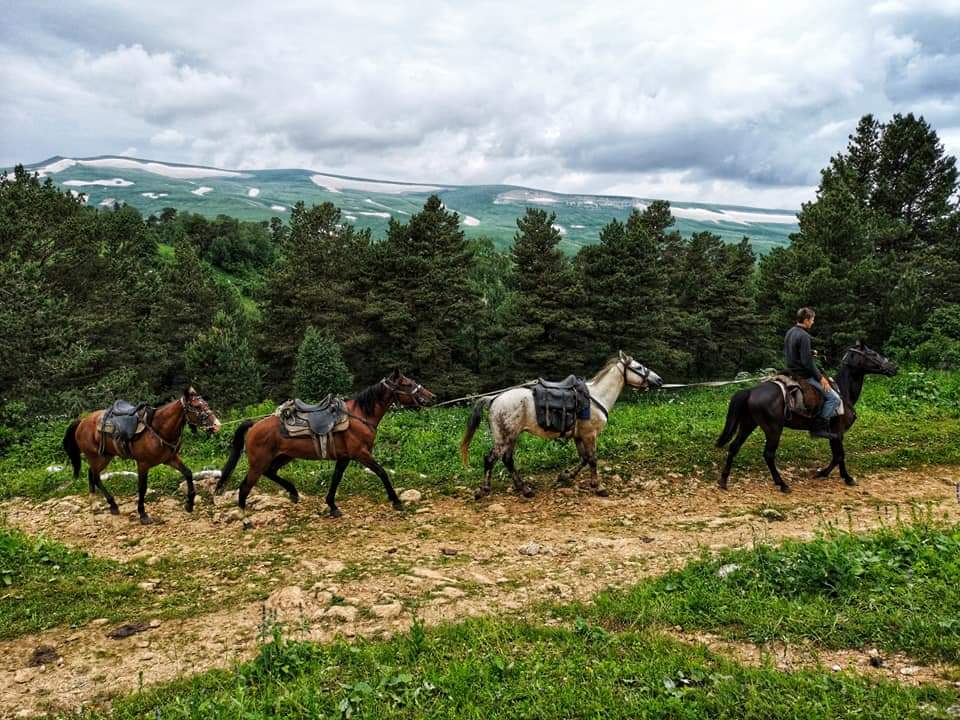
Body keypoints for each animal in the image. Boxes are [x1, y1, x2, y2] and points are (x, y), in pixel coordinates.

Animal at [62, 388, 223, 524]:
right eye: (197, 406)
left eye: (205, 404)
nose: (217, 425)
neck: (159, 428)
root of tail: (82, 421)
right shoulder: (143, 464)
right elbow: (142, 487)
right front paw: (143, 514)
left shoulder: (170, 459)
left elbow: (188, 473)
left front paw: (189, 504)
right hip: (97, 457)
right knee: (95, 476)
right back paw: (112, 505)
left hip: (105, 456)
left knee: (92, 474)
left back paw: (97, 503)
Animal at [217, 372, 436, 516]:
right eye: (407, 384)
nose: (432, 396)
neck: (359, 416)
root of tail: (255, 425)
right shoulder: (360, 454)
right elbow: (382, 472)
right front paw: (397, 502)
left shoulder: (345, 457)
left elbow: (336, 478)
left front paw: (332, 506)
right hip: (259, 462)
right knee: (245, 487)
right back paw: (245, 520)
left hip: (283, 456)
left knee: (270, 472)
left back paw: (293, 493)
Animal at [464, 350, 660, 498]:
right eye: (638, 367)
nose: (659, 380)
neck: (596, 396)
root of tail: (494, 398)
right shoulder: (590, 435)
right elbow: (592, 459)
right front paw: (598, 487)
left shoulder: (579, 436)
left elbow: (584, 458)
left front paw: (565, 476)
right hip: (504, 438)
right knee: (490, 459)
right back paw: (484, 490)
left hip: (511, 437)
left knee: (507, 460)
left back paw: (524, 489)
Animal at [716, 344, 896, 496]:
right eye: (873, 353)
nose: (894, 367)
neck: (843, 393)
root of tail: (751, 391)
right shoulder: (838, 432)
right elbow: (840, 455)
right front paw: (846, 477)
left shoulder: (833, 434)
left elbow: (836, 455)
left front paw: (822, 473)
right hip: (773, 429)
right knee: (768, 454)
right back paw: (782, 484)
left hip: (748, 424)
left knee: (734, 447)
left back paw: (724, 481)